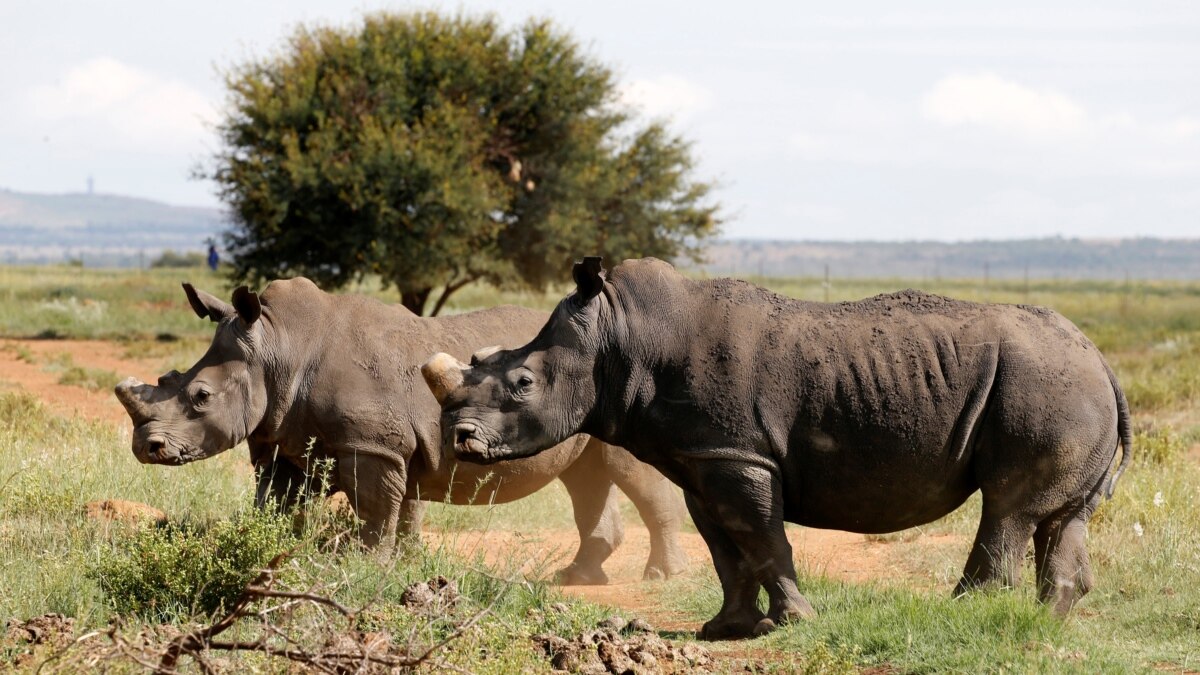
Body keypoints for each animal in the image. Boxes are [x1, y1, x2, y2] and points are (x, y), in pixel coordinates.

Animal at [113, 277, 688, 584]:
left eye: (200, 397)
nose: (147, 447)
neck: (279, 347)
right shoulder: (289, 440)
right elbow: (283, 504)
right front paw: (275, 555)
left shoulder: (374, 447)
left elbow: (376, 510)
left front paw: (367, 566)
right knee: (585, 475)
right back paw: (576, 579)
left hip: (618, 385)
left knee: (627, 473)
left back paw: (661, 576)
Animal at [422, 257, 1132, 639]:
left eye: (523, 383)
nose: (461, 439)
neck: (621, 336)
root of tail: (1101, 357)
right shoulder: (703, 456)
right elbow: (725, 546)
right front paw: (727, 629)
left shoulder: (737, 455)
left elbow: (764, 538)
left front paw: (794, 623)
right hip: (1066, 386)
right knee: (1060, 515)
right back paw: (1046, 622)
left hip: (1046, 385)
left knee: (1007, 508)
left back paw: (963, 617)